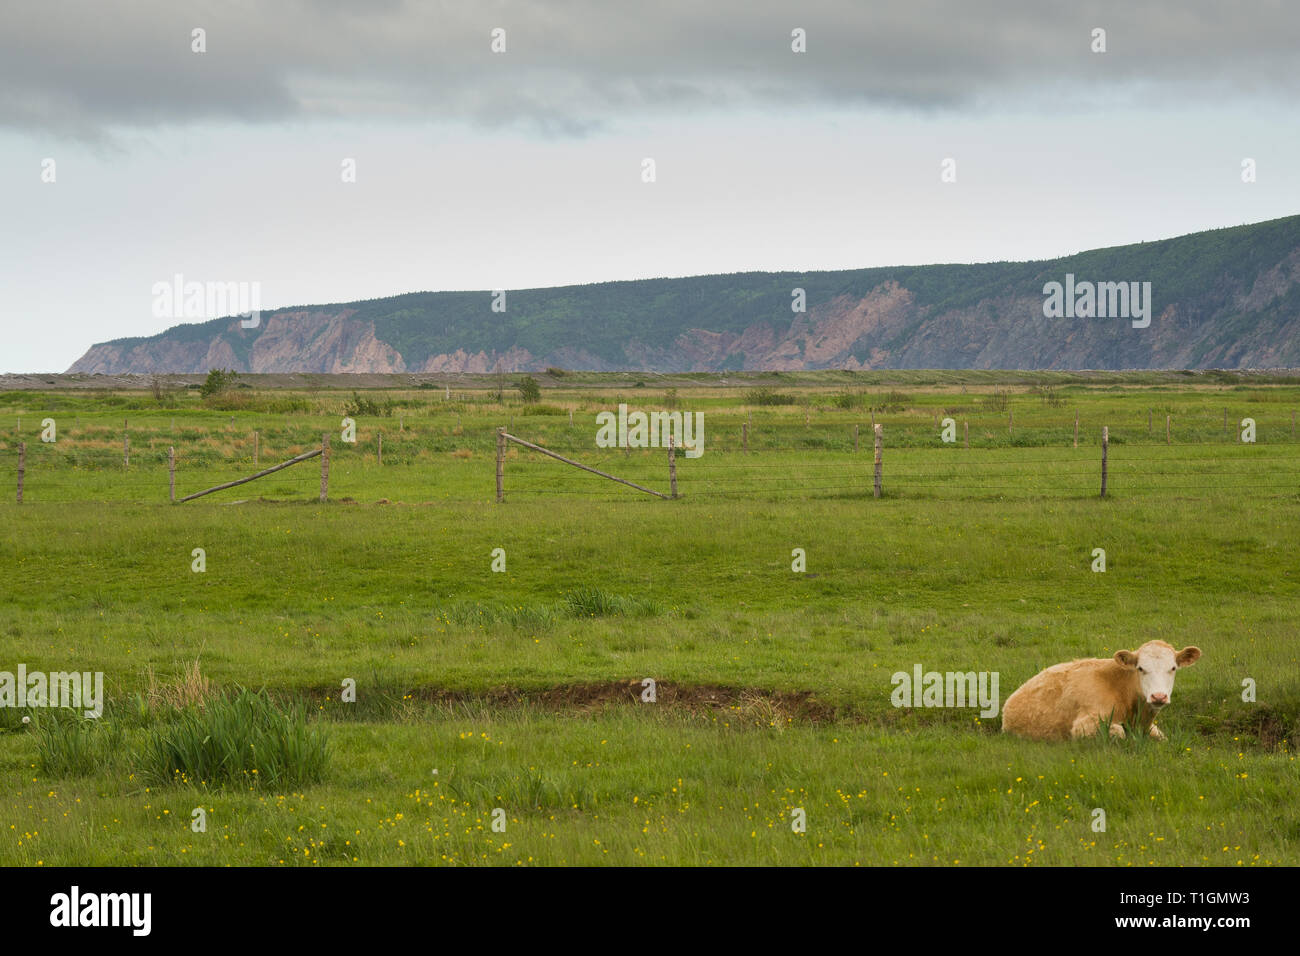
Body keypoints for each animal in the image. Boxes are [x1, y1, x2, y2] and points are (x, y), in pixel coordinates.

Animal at [1001, 640, 1201, 741]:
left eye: (1173, 668)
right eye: (1141, 668)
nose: (1158, 696)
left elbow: (1162, 737)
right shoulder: (1083, 725)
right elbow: (1120, 732)